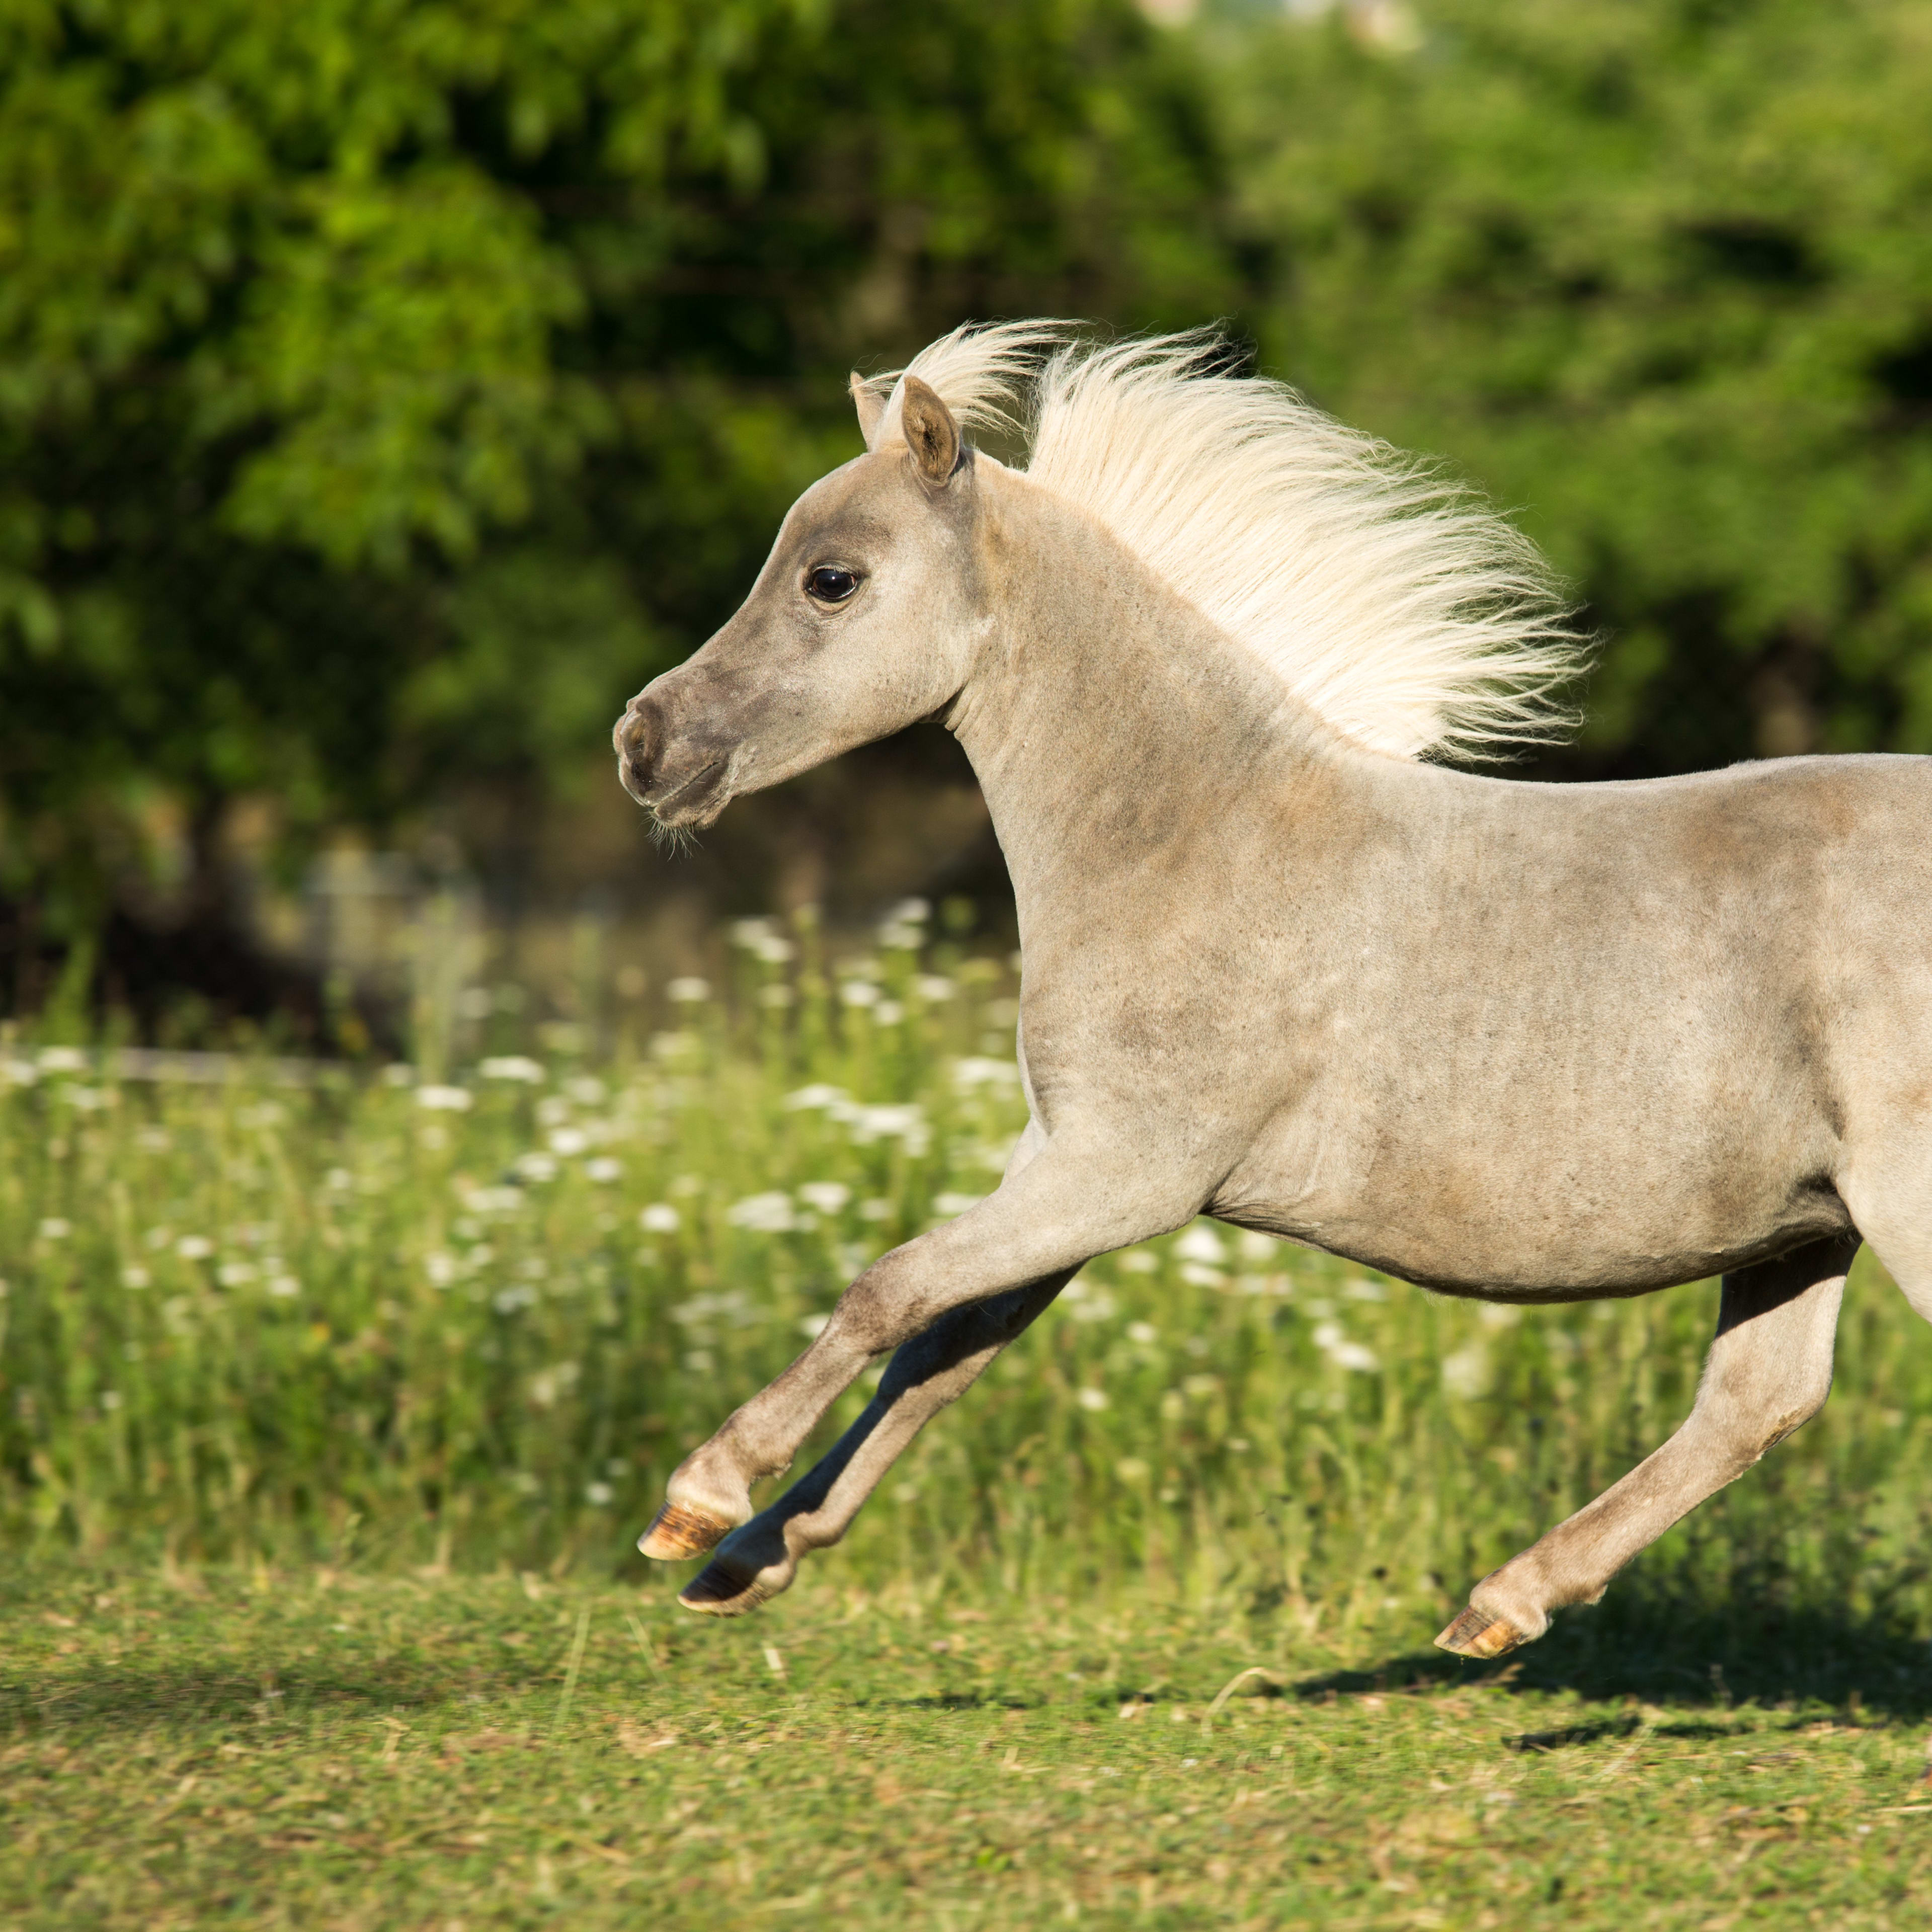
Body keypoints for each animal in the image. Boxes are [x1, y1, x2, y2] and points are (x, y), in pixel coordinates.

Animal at [613, 321, 1932, 1658]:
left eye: (831, 579)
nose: (643, 744)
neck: (1195, 838)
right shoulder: (1065, 1164)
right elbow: (944, 1344)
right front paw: (749, 1558)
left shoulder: (1125, 1173)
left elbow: (894, 1287)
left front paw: (697, 1497)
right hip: (1801, 1225)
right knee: (1756, 1404)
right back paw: (1498, 1607)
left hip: (1895, 1208)